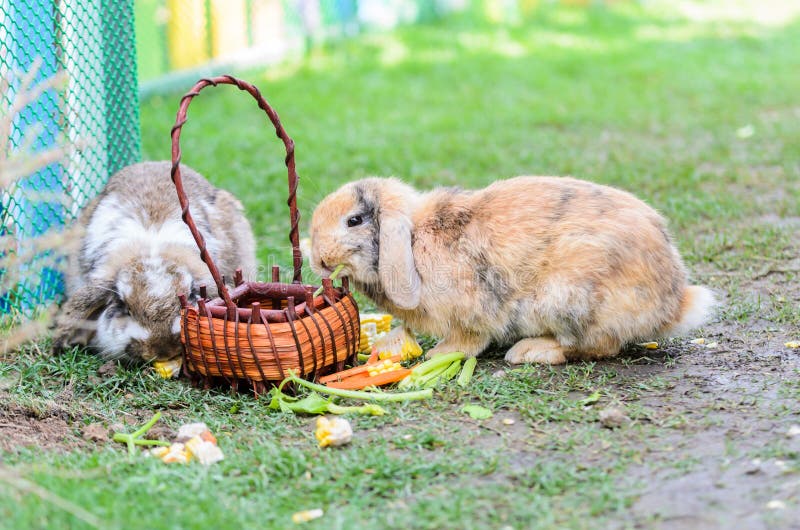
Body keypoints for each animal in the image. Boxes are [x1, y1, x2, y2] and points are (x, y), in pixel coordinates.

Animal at [309, 176, 715, 365]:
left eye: (354, 220)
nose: (317, 258)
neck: (412, 240)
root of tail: (673, 304)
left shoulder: (469, 314)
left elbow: (468, 340)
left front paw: (439, 355)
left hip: (569, 300)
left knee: (595, 347)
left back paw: (530, 351)